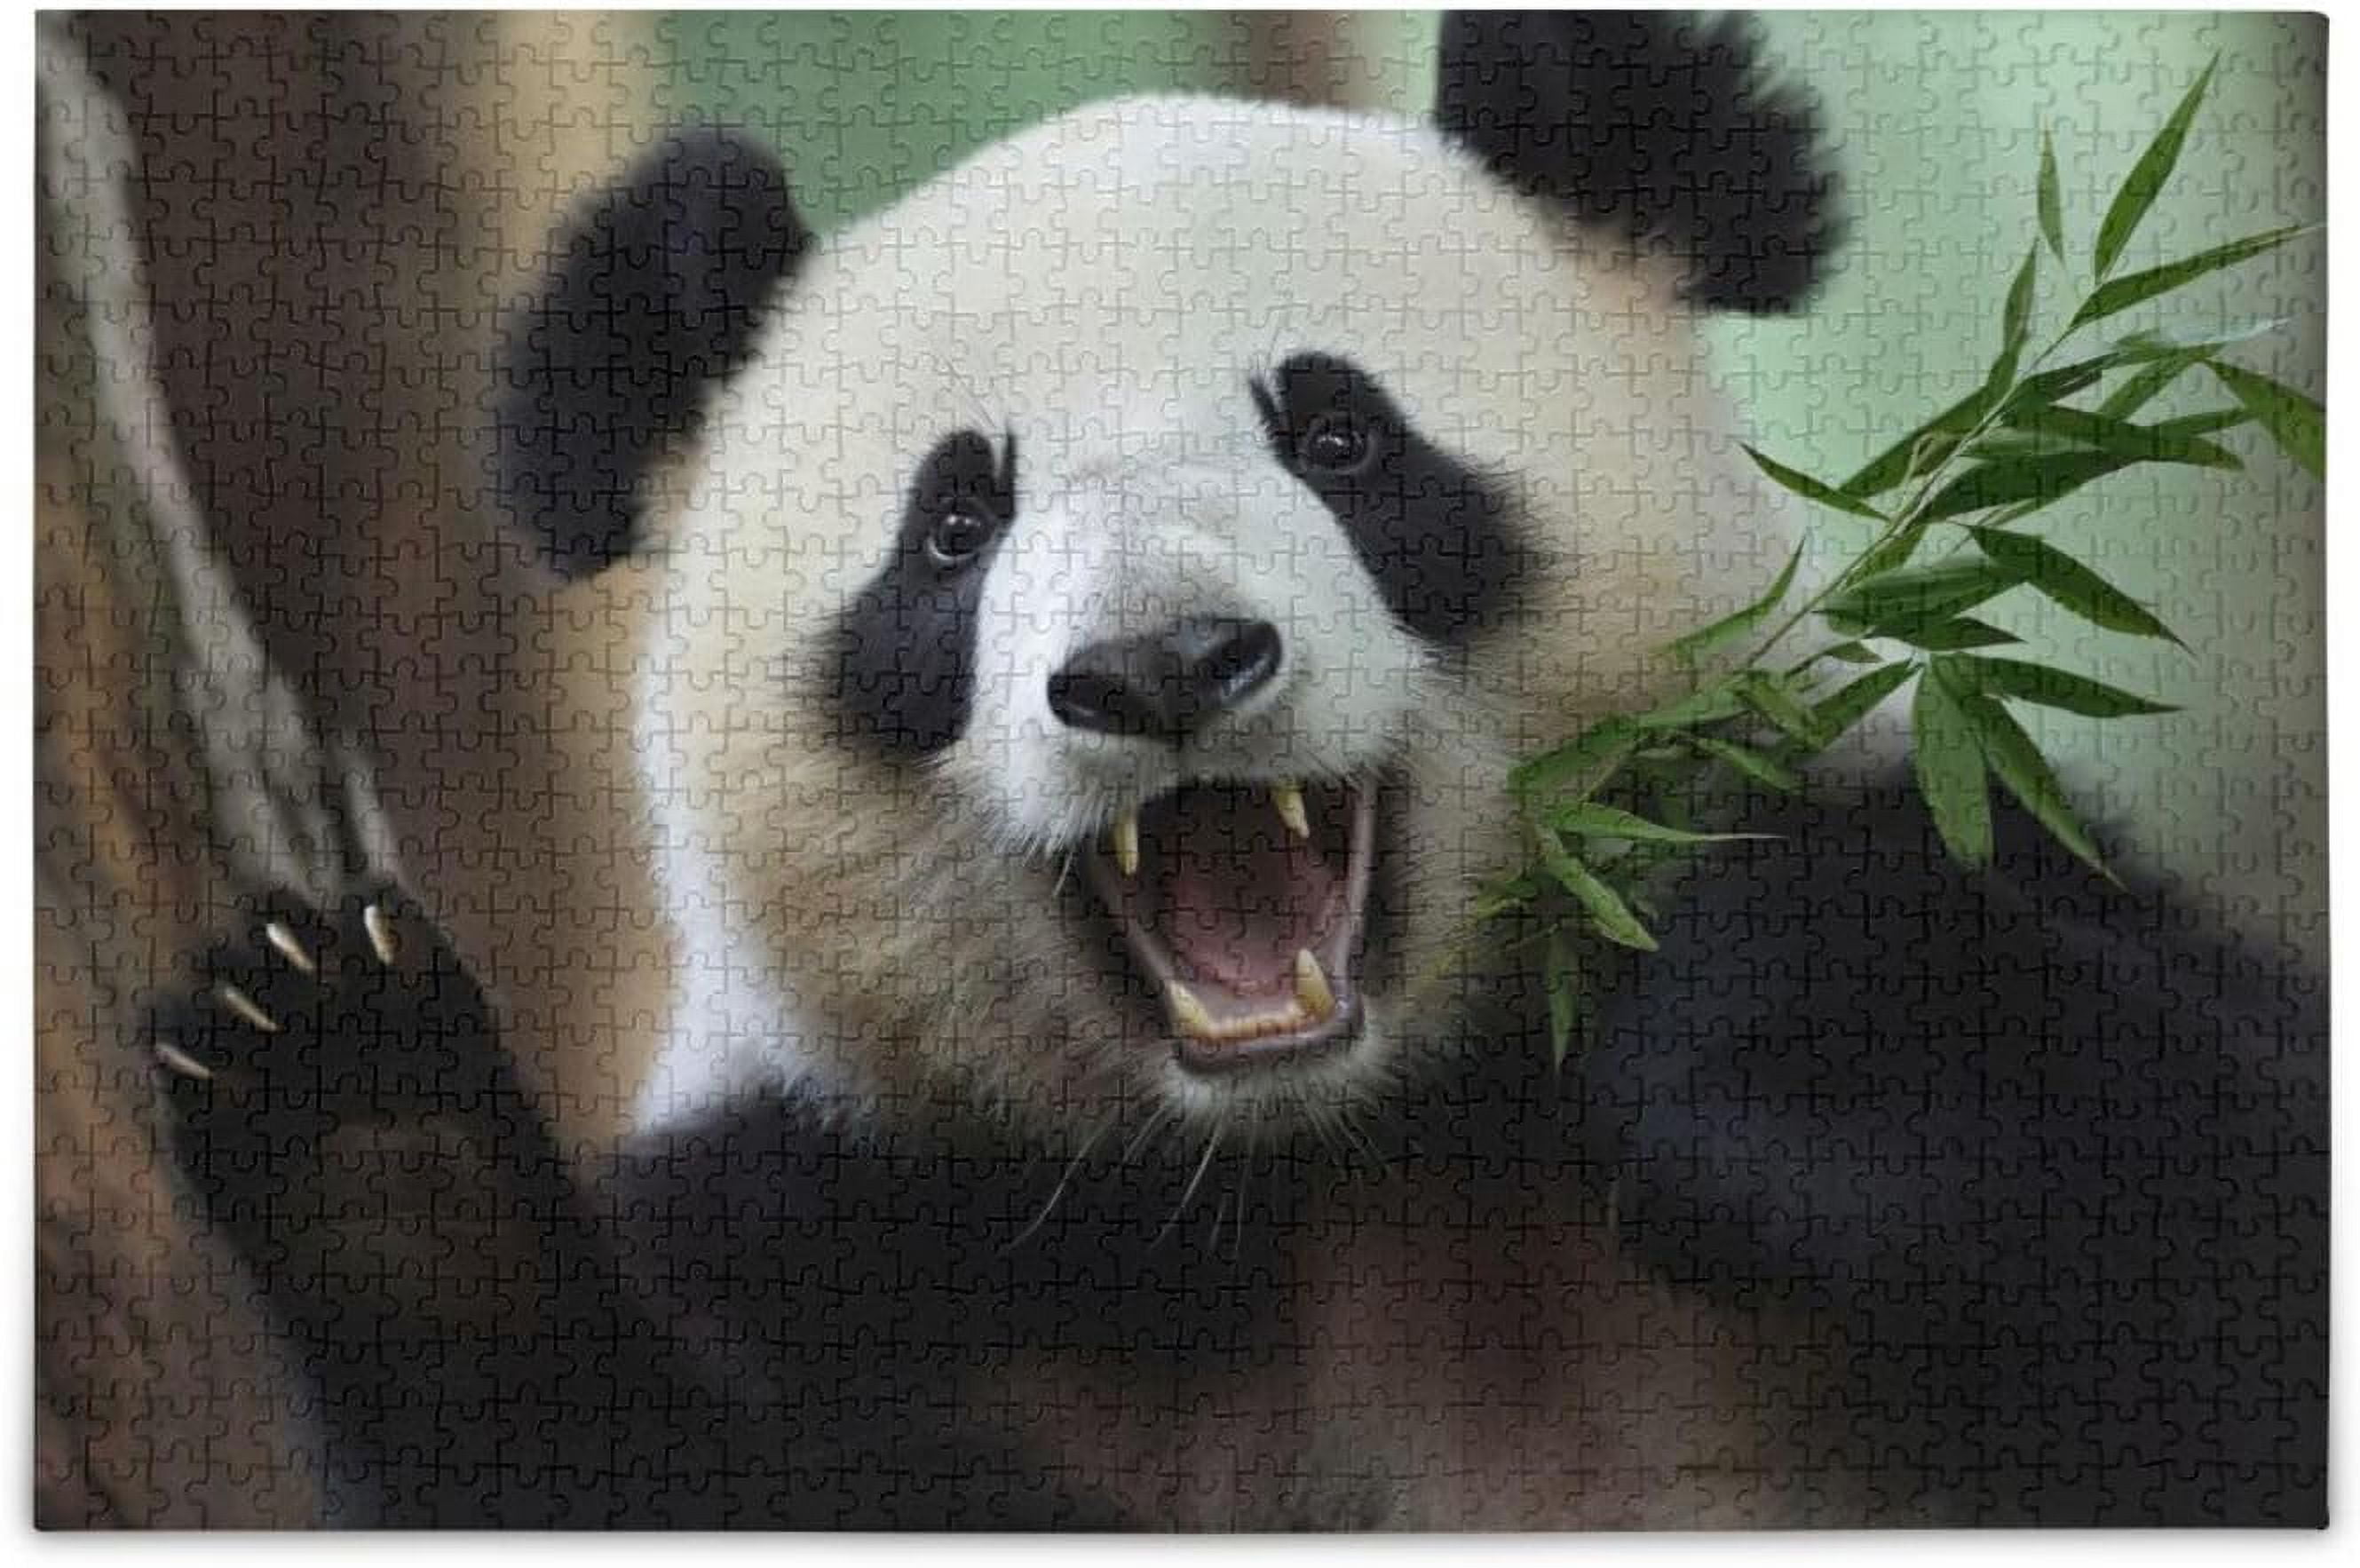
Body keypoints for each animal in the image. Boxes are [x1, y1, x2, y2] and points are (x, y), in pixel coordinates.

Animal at [158, 11, 2324, 1530]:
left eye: (1342, 437)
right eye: (954, 526)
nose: (1161, 668)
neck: (1337, 1165)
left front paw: (1803, 1039)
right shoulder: (877, 1224)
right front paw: (370, 1131)